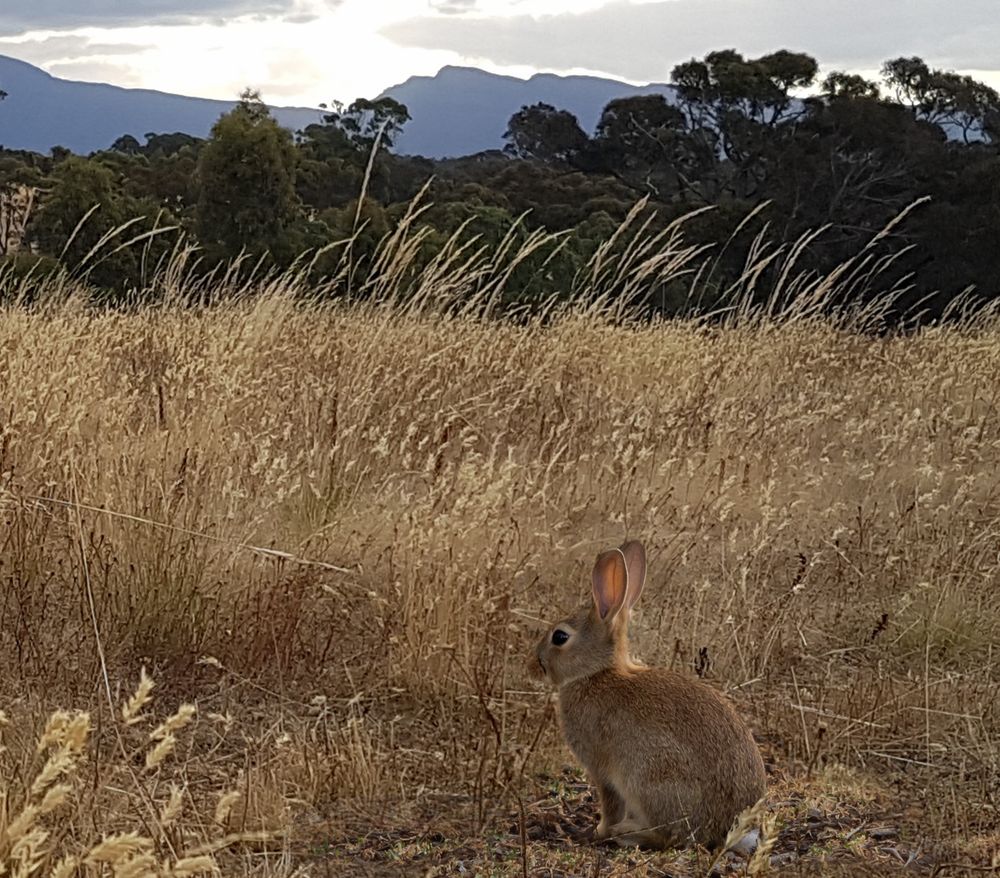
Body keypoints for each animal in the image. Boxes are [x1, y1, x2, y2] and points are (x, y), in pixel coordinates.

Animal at [532, 540, 766, 850]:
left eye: (559, 637)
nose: (534, 664)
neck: (596, 673)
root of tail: (733, 827)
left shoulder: (602, 770)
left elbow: (610, 805)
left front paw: (596, 832)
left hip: (650, 777)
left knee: (670, 835)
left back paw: (626, 832)